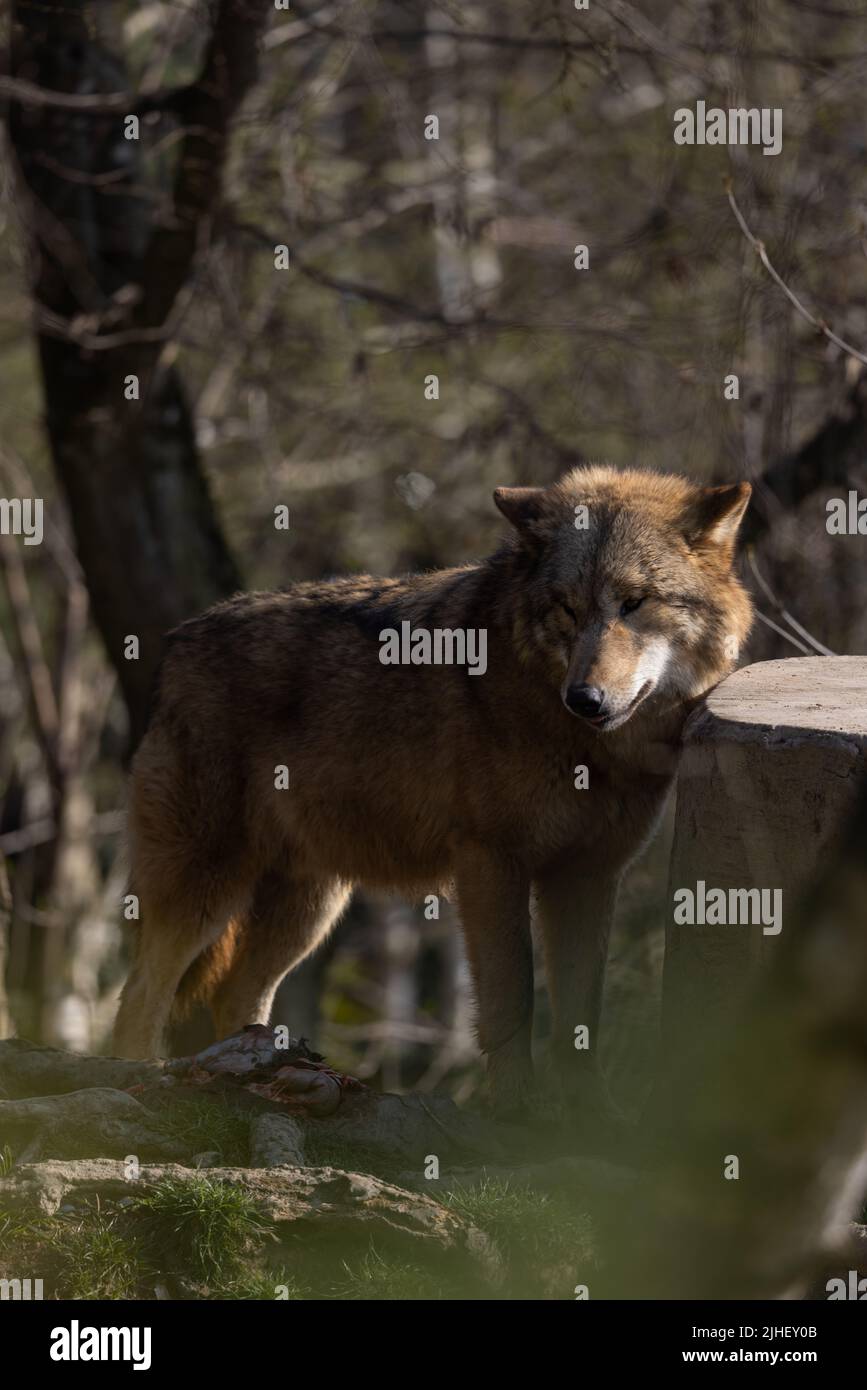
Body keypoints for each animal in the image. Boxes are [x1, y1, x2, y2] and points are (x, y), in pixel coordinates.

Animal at [113, 466, 752, 1116]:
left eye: (634, 602)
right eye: (567, 609)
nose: (585, 699)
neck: (584, 746)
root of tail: (178, 640)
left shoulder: (588, 875)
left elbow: (582, 1014)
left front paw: (589, 1115)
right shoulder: (490, 863)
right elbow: (512, 997)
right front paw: (516, 1109)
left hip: (310, 908)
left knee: (235, 996)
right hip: (205, 887)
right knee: (138, 996)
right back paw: (140, 1080)